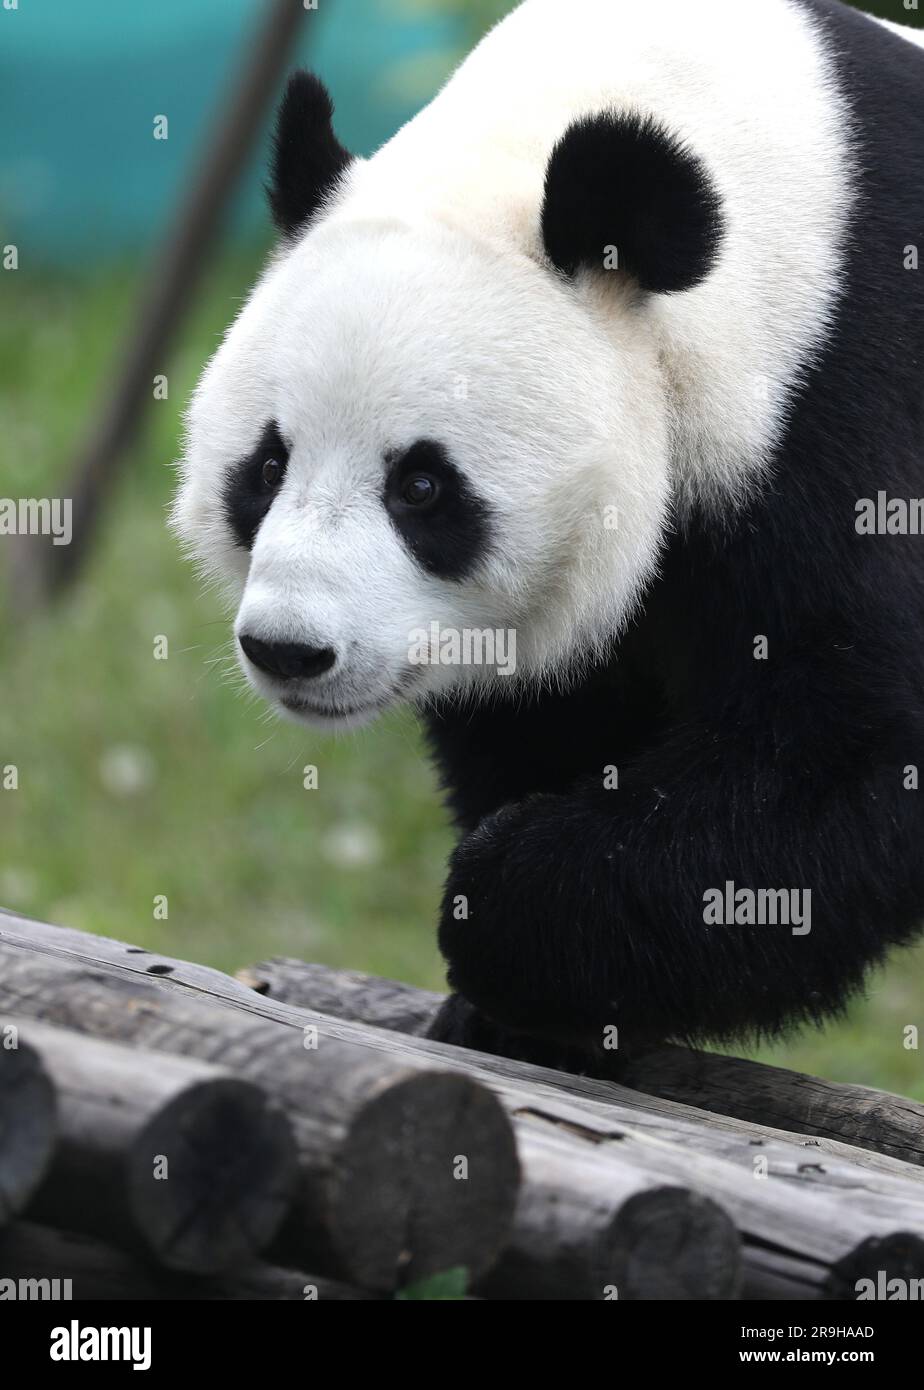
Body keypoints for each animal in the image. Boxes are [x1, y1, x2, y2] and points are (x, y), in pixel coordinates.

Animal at [173, 0, 924, 1067]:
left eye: (422, 486)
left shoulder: (843, 399)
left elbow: (848, 754)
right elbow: (542, 718)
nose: (290, 649)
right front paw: (535, 1007)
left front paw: (504, 913)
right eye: (267, 467)